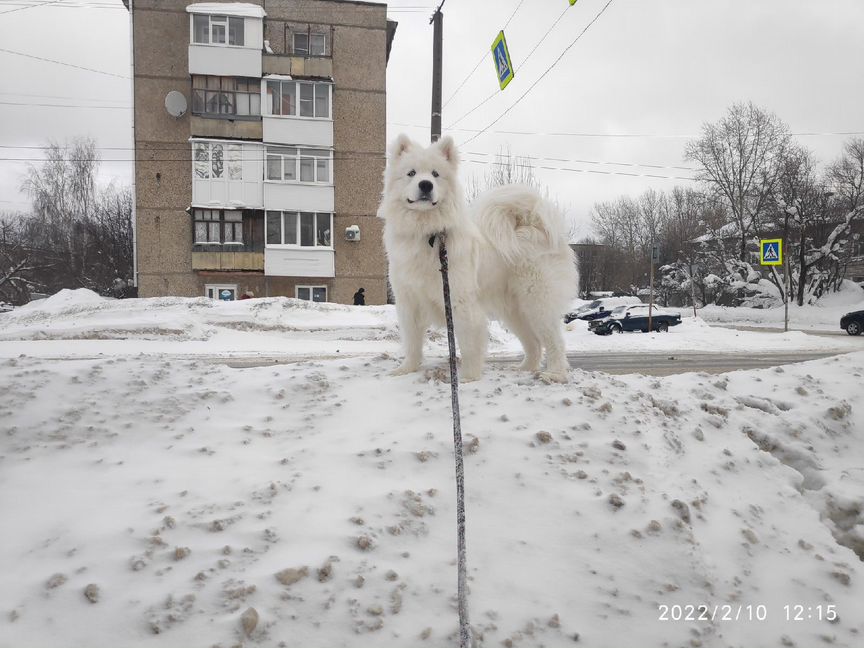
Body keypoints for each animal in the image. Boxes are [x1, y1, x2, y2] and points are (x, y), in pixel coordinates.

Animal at [380, 134, 576, 382]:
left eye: (435, 174)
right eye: (411, 173)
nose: (426, 185)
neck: (427, 233)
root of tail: (534, 227)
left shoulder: (460, 302)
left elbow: (469, 344)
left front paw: (468, 377)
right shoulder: (409, 302)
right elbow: (413, 343)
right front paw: (406, 369)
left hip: (537, 302)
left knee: (554, 342)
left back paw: (555, 374)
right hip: (515, 311)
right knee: (533, 343)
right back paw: (524, 369)